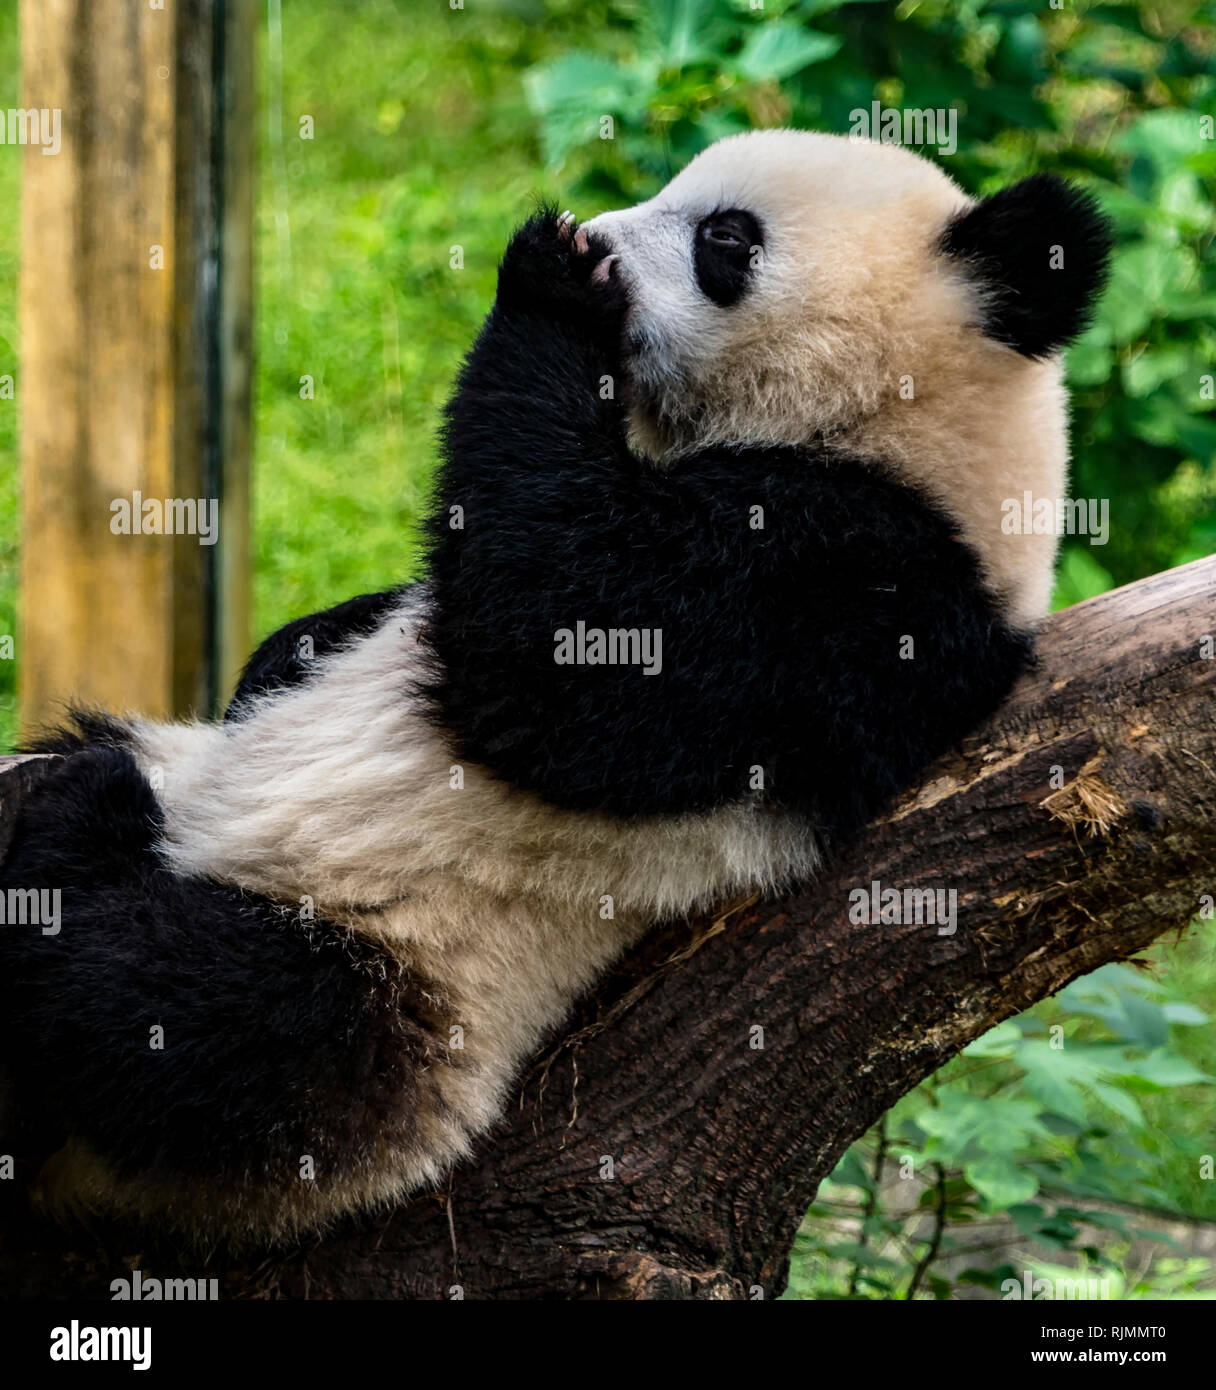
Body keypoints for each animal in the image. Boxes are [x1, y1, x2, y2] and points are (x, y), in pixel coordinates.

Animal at [0, 130, 1111, 1245]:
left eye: (725, 237)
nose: (605, 243)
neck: (900, 434)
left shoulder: (855, 588)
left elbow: (569, 661)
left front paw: (552, 278)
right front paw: (288, 652)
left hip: (395, 984)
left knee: (168, 1004)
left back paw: (80, 835)